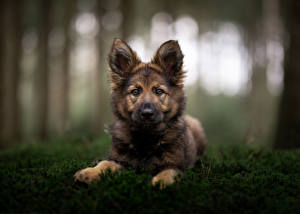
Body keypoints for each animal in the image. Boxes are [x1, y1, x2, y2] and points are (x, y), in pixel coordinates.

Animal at [75, 39, 206, 188]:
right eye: (135, 91)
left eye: (159, 91)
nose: (147, 113)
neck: (146, 135)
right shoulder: (120, 160)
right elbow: (105, 163)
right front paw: (89, 172)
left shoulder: (175, 164)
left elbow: (169, 173)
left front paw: (160, 181)